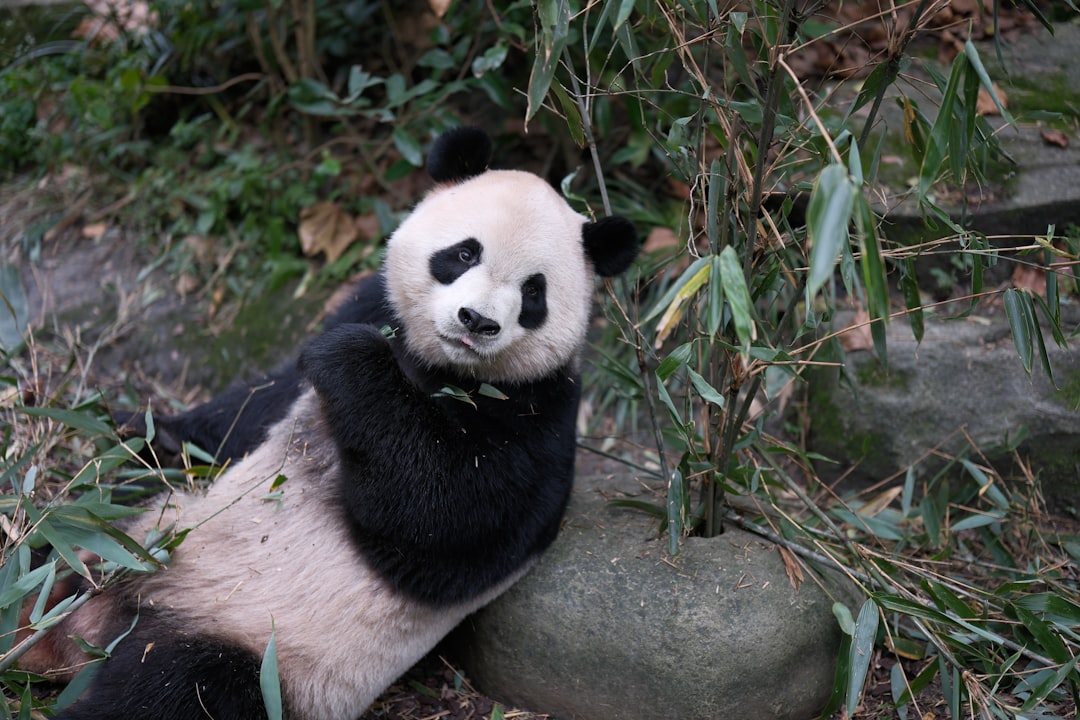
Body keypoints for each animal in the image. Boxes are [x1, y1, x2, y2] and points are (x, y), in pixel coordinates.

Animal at [20, 127, 640, 720]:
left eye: (534, 292)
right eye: (464, 254)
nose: (477, 321)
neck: (441, 366)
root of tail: (87, 628)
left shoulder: (538, 413)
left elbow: (444, 519)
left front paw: (350, 360)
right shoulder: (370, 306)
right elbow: (251, 410)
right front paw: (137, 429)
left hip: (257, 652)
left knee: (178, 691)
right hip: (135, 527)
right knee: (59, 532)